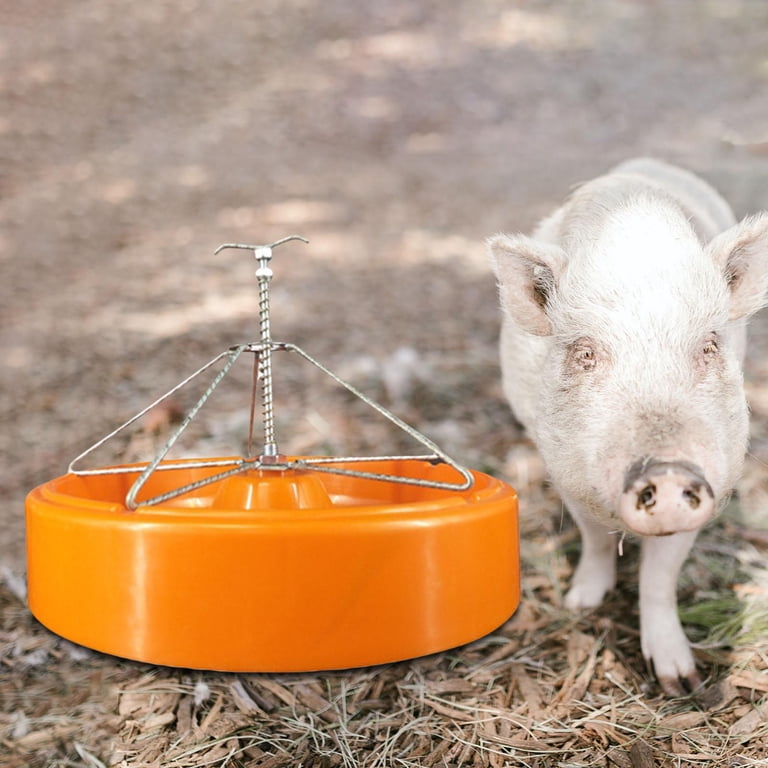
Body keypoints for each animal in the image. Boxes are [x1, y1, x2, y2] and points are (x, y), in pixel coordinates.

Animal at [488, 158, 768, 696]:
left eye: (709, 346)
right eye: (585, 354)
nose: (668, 471)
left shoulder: (714, 478)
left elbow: (660, 576)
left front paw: (681, 684)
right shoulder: (564, 468)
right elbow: (595, 539)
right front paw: (580, 604)